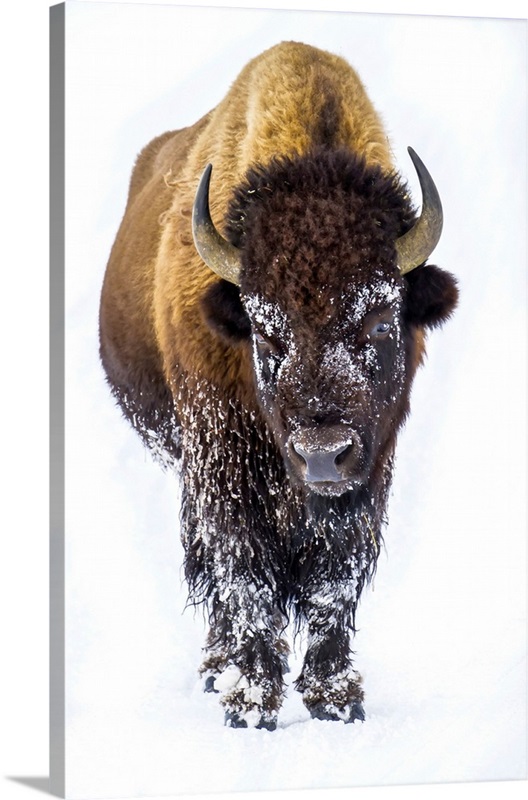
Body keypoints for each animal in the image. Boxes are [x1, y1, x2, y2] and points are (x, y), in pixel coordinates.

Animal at [99, 41, 458, 730]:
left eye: (380, 320)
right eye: (265, 334)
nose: (320, 456)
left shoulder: (370, 468)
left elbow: (334, 576)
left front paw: (336, 699)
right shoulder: (222, 461)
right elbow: (244, 571)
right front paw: (250, 703)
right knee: (207, 562)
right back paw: (217, 668)